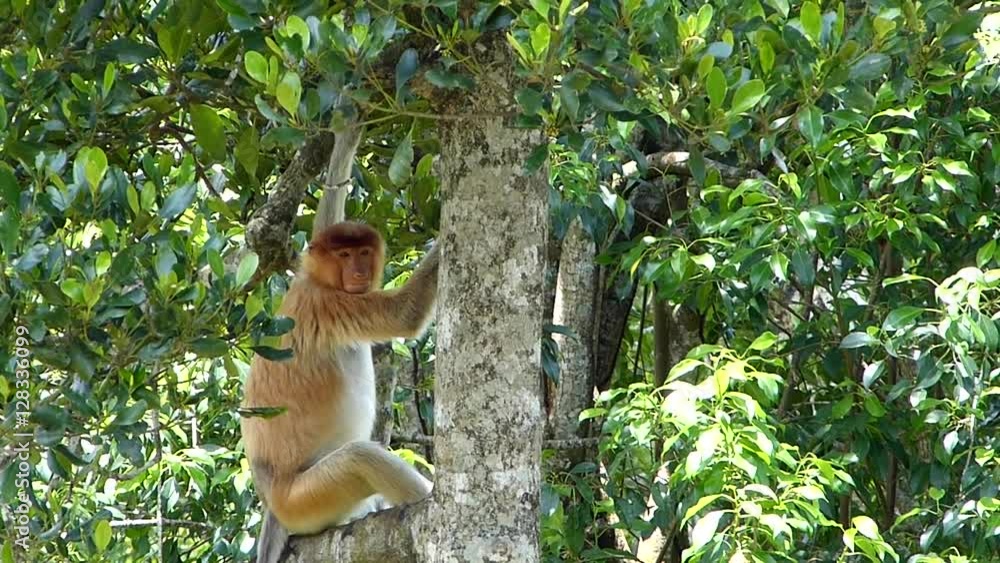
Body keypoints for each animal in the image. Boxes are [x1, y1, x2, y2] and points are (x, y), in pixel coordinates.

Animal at [240, 222, 438, 563]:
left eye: (364, 252)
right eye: (344, 255)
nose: (359, 273)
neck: (318, 280)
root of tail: (272, 501)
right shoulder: (328, 304)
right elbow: (405, 313)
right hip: (304, 499)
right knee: (360, 458)